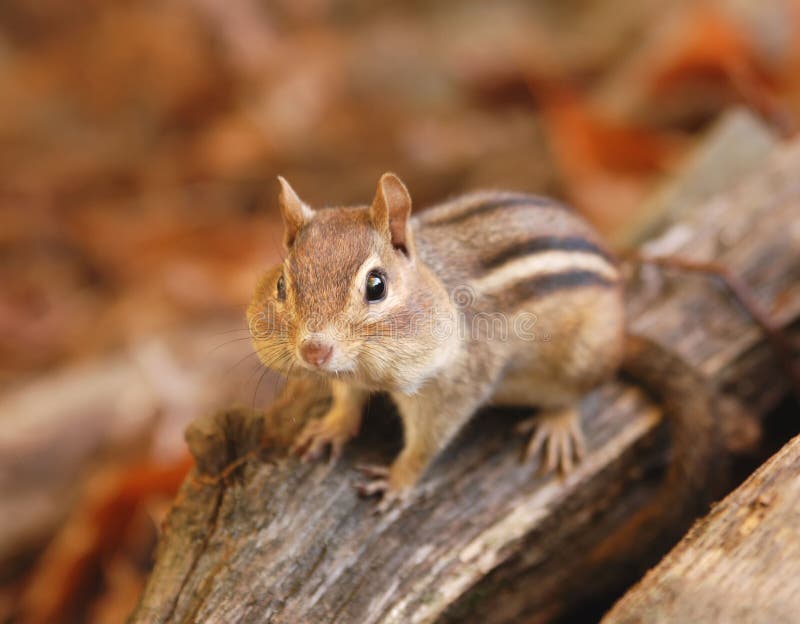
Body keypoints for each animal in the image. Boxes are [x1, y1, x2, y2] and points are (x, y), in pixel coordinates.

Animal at [246, 172, 716, 514]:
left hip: (584, 356)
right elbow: (346, 397)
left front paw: (398, 480)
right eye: (282, 284)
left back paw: (557, 424)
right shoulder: (349, 375)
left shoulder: (457, 382)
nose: (314, 351)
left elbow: (428, 441)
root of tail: (621, 333)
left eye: (376, 285)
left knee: (577, 392)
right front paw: (330, 427)